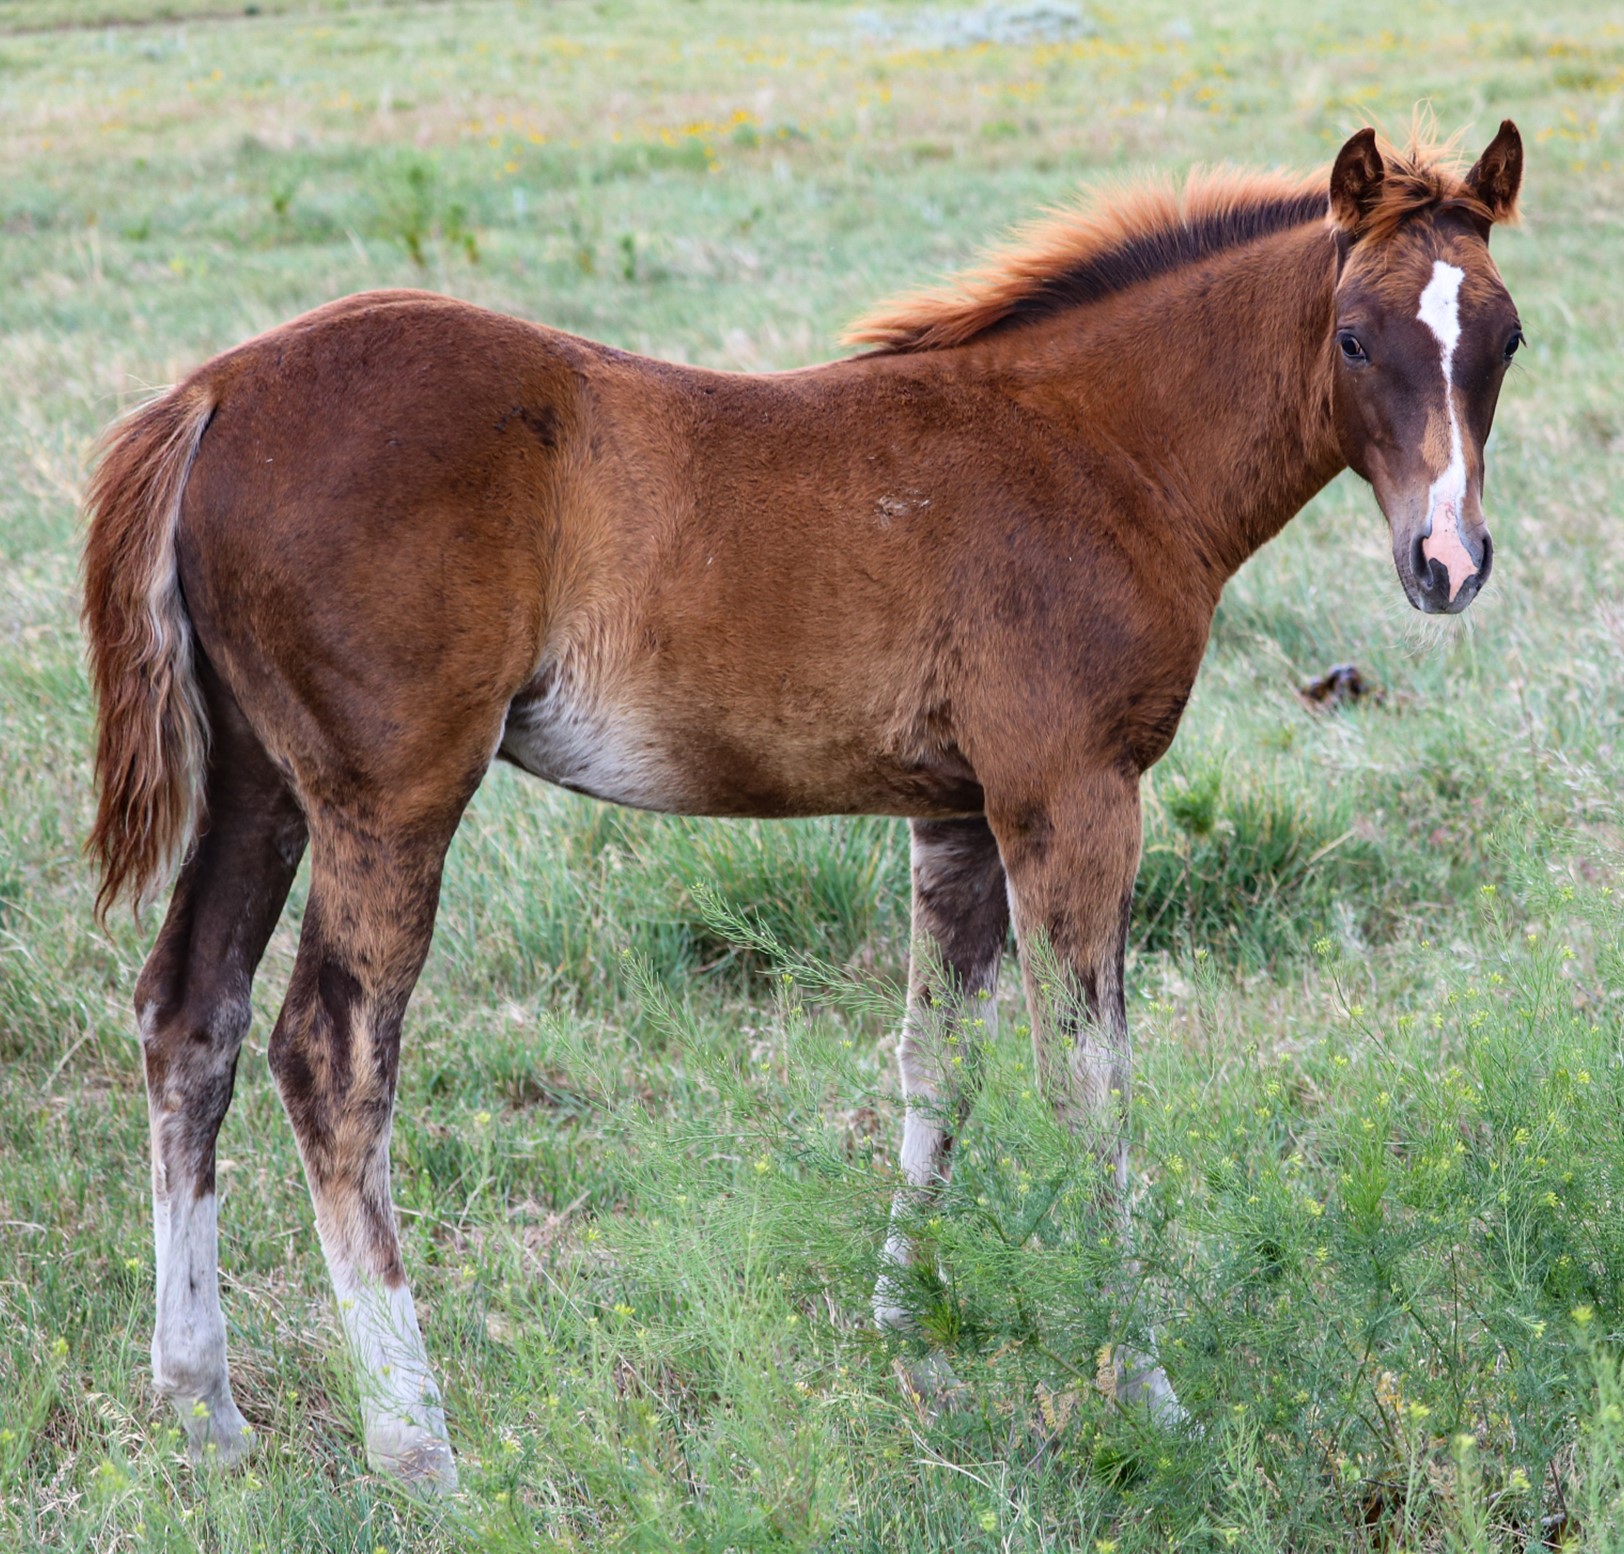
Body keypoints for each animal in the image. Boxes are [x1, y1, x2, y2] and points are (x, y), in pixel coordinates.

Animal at [81, 121, 1524, 1490]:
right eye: (1354, 337)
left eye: (1506, 337)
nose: (1446, 563)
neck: (1098, 446)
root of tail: (214, 392)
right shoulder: (1072, 792)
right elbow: (1088, 1082)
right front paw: (1144, 1391)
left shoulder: (960, 813)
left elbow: (939, 1059)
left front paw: (911, 1340)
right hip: (392, 795)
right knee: (330, 1056)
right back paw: (416, 1444)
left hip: (261, 783)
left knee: (189, 1015)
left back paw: (204, 1411)